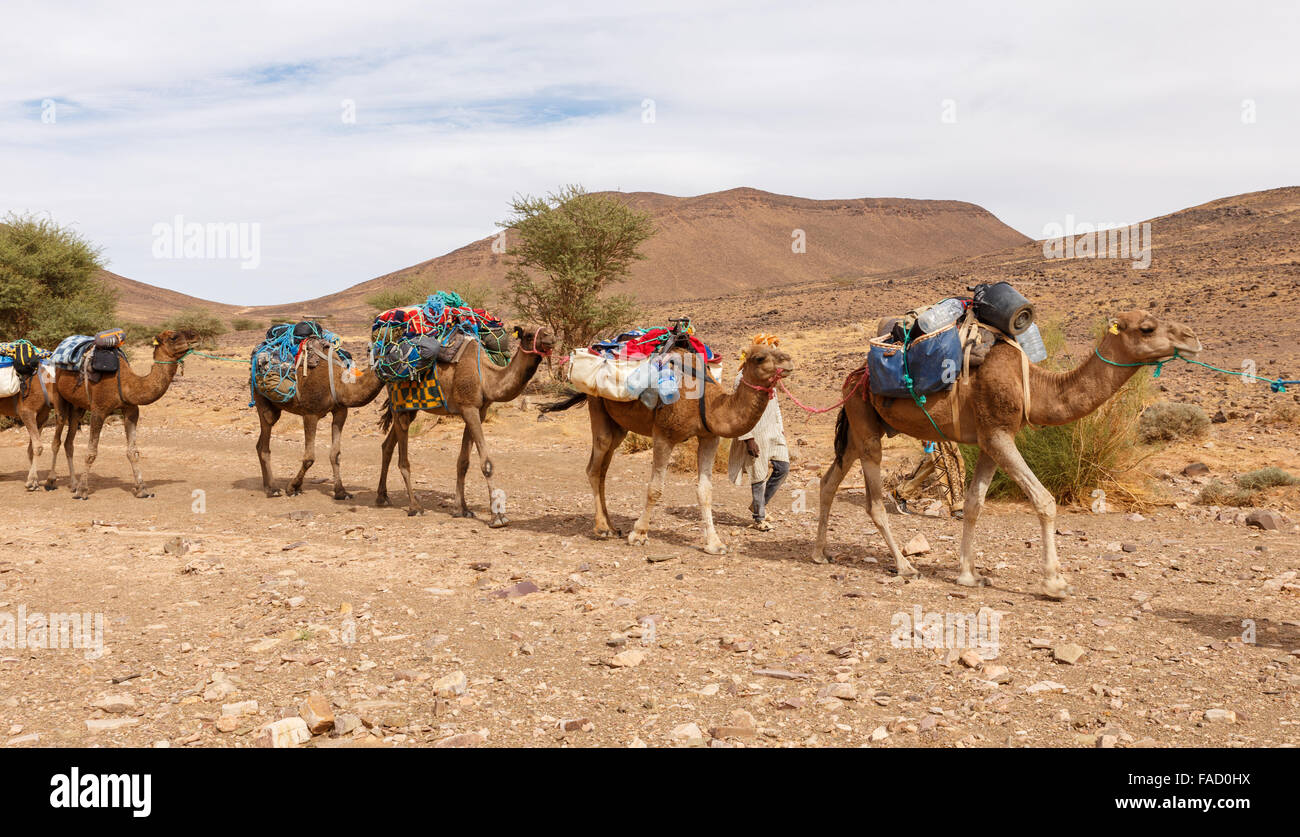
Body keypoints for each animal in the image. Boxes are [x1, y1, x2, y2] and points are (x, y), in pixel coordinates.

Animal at [50, 329, 199, 499]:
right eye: (173, 337)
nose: (196, 335)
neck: (127, 384)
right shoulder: (98, 411)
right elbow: (91, 452)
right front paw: (82, 491)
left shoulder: (131, 410)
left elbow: (132, 451)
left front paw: (142, 489)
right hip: (58, 394)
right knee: (57, 436)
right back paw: (51, 481)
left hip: (77, 406)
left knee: (69, 441)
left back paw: (73, 484)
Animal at [253, 337, 385, 499]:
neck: (341, 384)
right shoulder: (310, 413)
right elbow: (309, 457)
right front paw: (292, 487)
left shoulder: (341, 411)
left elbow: (335, 454)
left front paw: (341, 492)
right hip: (262, 401)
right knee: (265, 443)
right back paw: (273, 489)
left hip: (275, 408)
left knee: (259, 445)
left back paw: (267, 486)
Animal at [377, 326, 557, 521]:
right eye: (530, 335)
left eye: (547, 330)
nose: (551, 339)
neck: (486, 378)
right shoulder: (469, 408)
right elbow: (486, 464)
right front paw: (497, 517)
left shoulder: (477, 411)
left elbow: (463, 463)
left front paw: (461, 509)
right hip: (399, 404)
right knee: (403, 459)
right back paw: (415, 507)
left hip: (410, 409)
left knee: (387, 445)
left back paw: (382, 497)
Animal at [541, 341, 793, 554]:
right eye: (760, 357)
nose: (789, 361)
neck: (707, 401)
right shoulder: (664, 434)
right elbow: (655, 488)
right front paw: (639, 534)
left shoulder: (709, 437)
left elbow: (705, 491)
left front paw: (715, 543)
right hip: (597, 404)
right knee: (595, 465)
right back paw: (603, 529)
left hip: (619, 427)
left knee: (603, 469)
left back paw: (611, 527)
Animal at [812, 310, 1202, 599]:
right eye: (1147, 328)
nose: (1192, 338)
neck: (1034, 386)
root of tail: (854, 377)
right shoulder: (999, 434)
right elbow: (1044, 500)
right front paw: (1055, 583)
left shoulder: (990, 439)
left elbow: (974, 504)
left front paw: (969, 575)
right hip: (865, 426)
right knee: (874, 502)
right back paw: (906, 567)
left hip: (858, 428)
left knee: (828, 481)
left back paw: (820, 553)